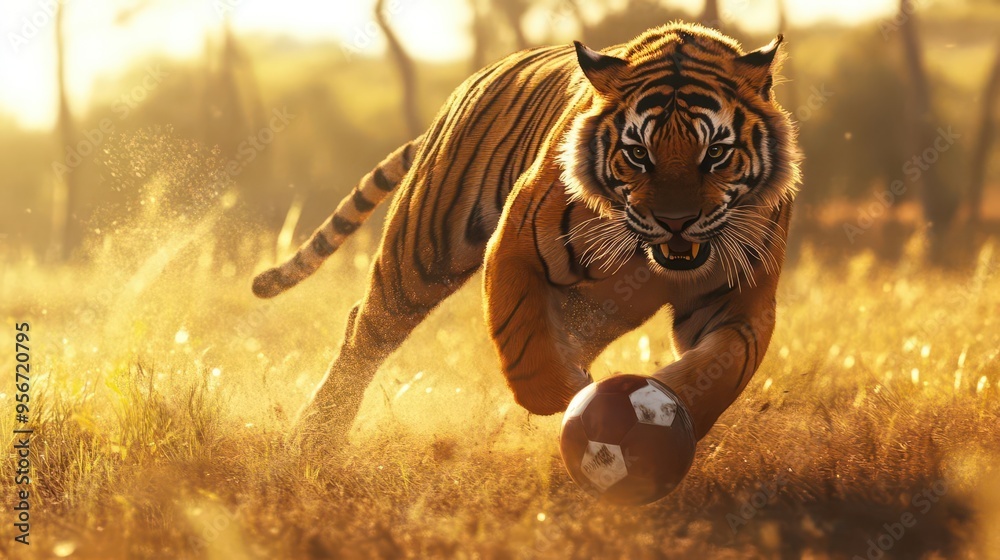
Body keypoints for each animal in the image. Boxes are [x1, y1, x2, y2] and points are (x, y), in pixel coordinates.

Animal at [252, 22, 801, 446]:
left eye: (716, 154)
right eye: (638, 153)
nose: (676, 221)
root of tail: (469, 83)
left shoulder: (741, 299)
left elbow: (721, 368)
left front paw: (668, 410)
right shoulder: (514, 246)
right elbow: (522, 344)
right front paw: (565, 398)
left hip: (597, 306)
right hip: (424, 252)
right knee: (363, 331)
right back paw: (313, 439)